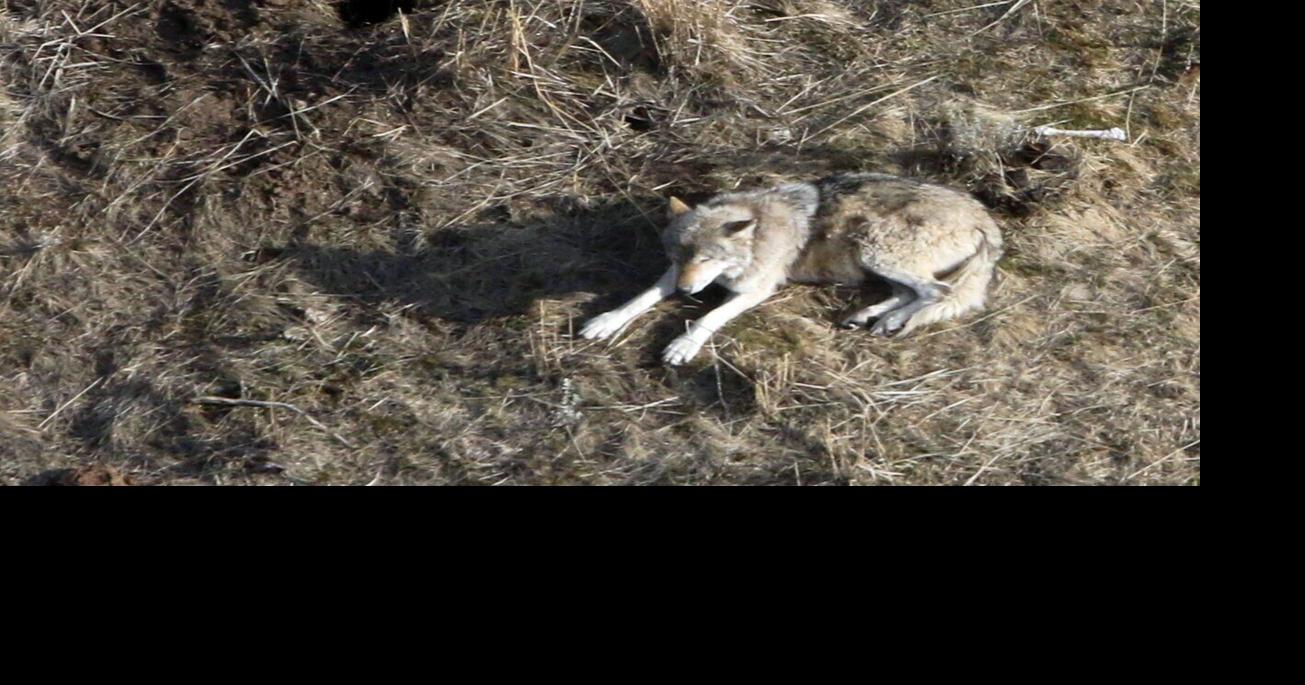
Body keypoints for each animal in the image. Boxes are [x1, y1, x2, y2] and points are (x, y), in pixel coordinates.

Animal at [580, 172, 1004, 366]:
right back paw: (868, 316)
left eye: (707, 258)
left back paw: (890, 322)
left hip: (874, 248)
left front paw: (684, 345)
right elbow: (640, 298)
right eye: (679, 257)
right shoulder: (675, 276)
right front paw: (605, 321)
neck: (755, 239)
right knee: (908, 292)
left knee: (936, 292)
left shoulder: (756, 290)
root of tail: (986, 219)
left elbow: (708, 318)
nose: (685, 292)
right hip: (871, 258)